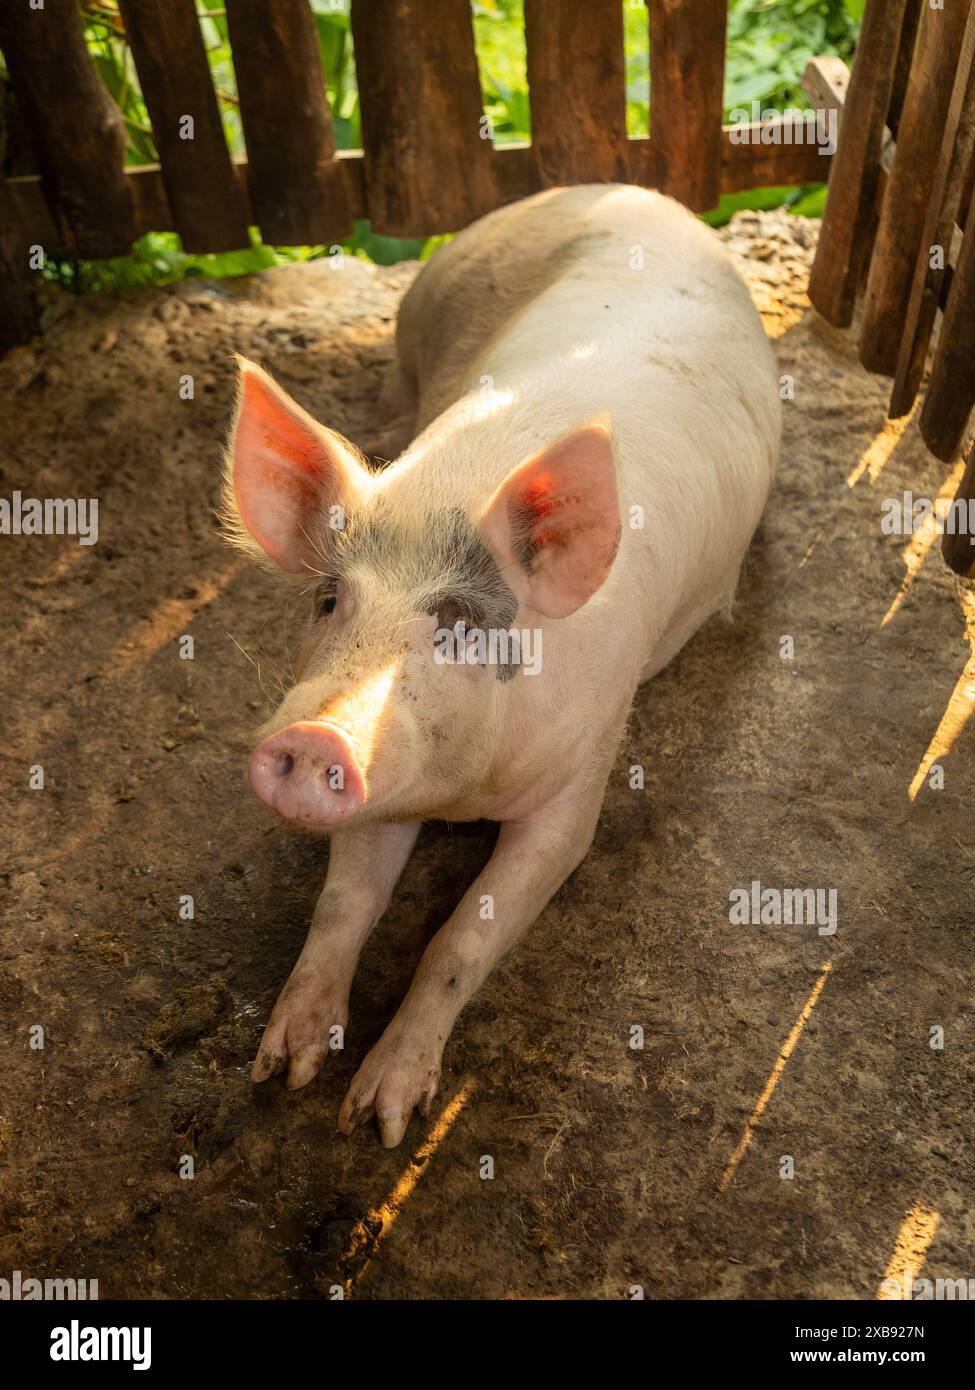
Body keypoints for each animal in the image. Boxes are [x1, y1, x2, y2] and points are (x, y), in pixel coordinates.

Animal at [223, 184, 780, 1147]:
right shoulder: (386, 782)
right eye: (329, 600)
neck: (460, 793)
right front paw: (282, 1068)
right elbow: (343, 903)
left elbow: (461, 939)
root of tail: (618, 189)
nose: (312, 735)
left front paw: (381, 1120)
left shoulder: (578, 784)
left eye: (457, 624)